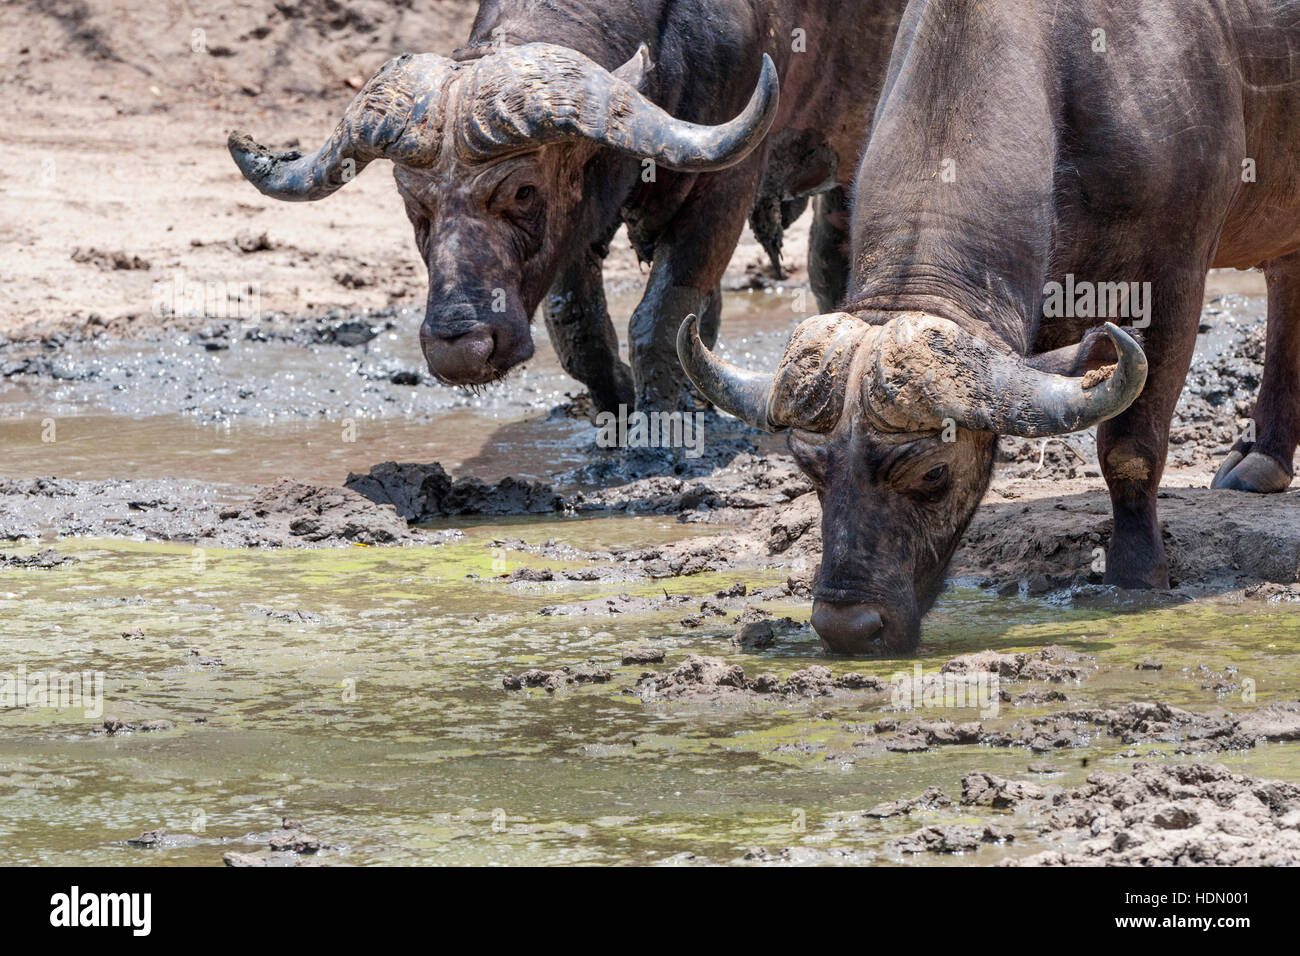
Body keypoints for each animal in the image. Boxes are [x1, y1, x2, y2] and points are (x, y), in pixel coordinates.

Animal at [228, 0, 906, 414]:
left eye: (524, 191)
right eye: (413, 203)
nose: (458, 349)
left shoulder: (728, 185)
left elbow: (660, 317)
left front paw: (661, 432)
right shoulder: (579, 229)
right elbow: (579, 326)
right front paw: (618, 407)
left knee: (833, 257)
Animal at [680, 0, 1300, 654]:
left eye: (934, 473)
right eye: (809, 468)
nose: (848, 627)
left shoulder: (1172, 280)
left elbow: (1130, 448)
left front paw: (1135, 573)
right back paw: (1262, 458)